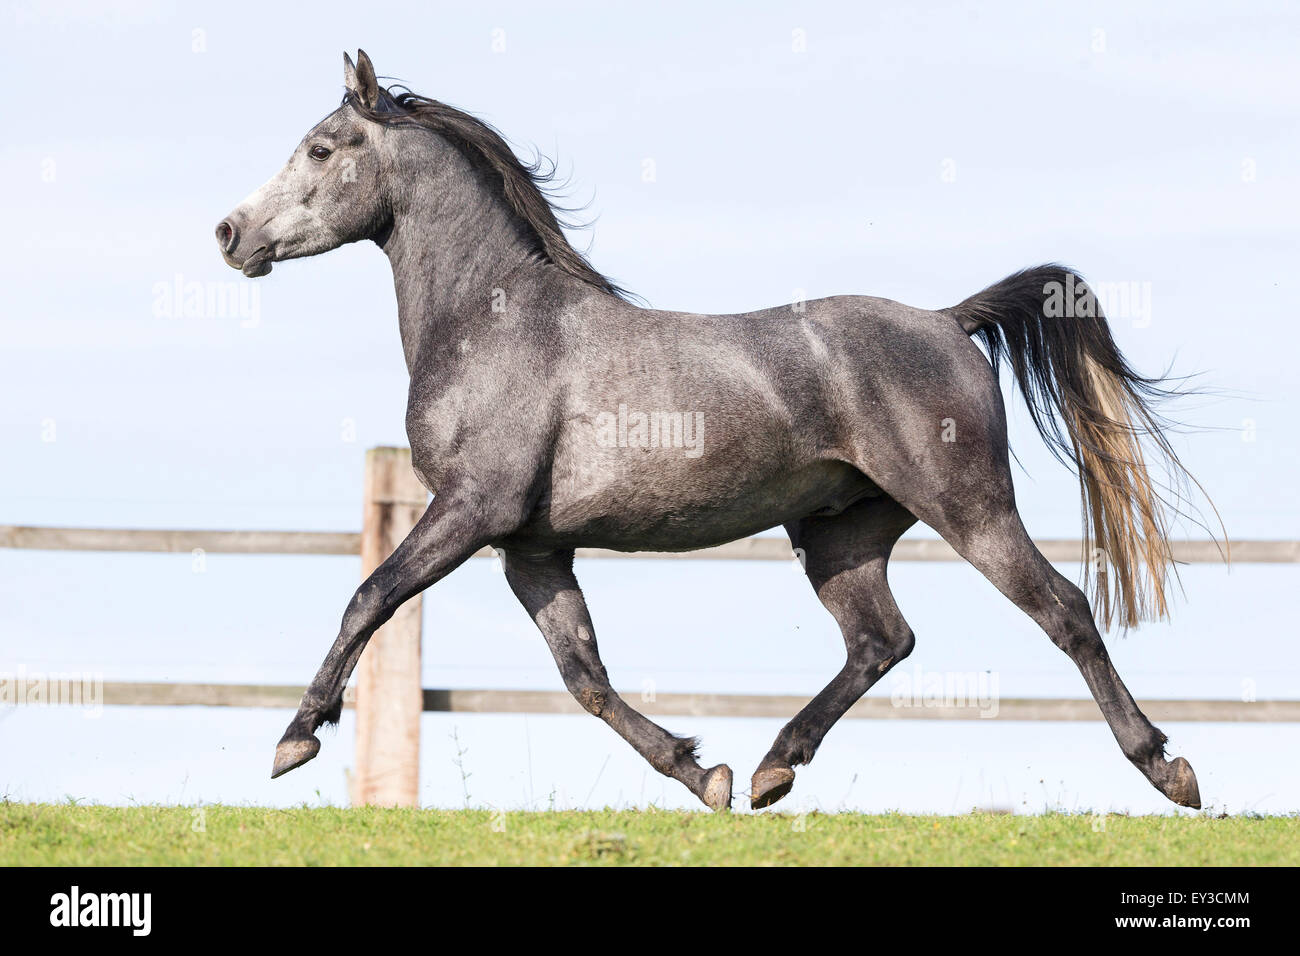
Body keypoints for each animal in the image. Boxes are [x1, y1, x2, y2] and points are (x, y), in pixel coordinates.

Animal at [217, 50, 1212, 811]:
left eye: (320, 147)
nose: (230, 233)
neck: (494, 321)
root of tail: (946, 320)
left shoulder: (469, 511)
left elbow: (369, 598)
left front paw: (294, 739)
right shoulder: (531, 547)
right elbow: (586, 676)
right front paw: (704, 775)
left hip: (970, 510)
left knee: (1065, 610)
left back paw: (1167, 768)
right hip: (840, 535)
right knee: (882, 642)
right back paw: (773, 769)